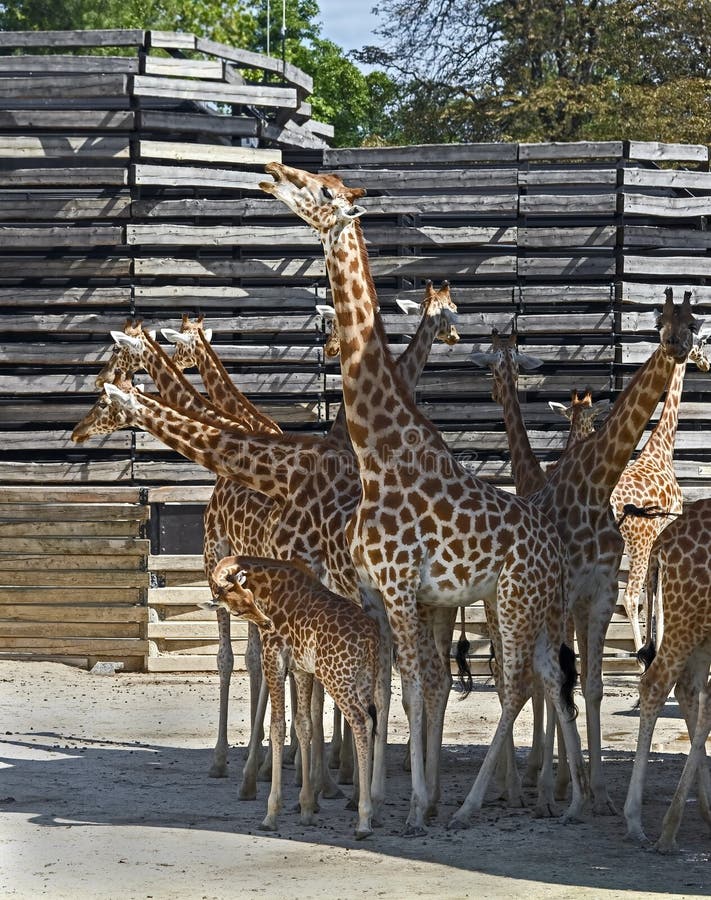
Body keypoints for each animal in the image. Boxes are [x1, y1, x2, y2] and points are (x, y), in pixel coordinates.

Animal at [205, 555, 380, 839]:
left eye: (250, 597)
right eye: (238, 609)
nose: (266, 623)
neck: (270, 587)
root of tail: (370, 639)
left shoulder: (274, 658)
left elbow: (277, 726)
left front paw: (270, 814)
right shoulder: (300, 669)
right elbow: (303, 725)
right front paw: (307, 809)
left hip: (336, 676)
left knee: (360, 721)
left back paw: (364, 820)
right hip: (363, 678)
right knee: (371, 722)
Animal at [260, 161, 591, 834]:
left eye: (322, 190)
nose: (272, 172)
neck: (377, 453)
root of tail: (554, 552)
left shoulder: (400, 585)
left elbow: (415, 686)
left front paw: (413, 804)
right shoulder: (375, 591)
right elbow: (391, 686)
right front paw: (383, 796)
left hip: (512, 603)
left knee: (516, 686)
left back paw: (469, 804)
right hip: (537, 609)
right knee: (551, 678)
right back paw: (572, 801)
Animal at [610, 341, 710, 652]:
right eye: (703, 343)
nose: (706, 364)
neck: (662, 448)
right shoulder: (661, 531)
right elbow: (658, 592)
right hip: (638, 541)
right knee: (629, 595)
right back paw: (640, 654)